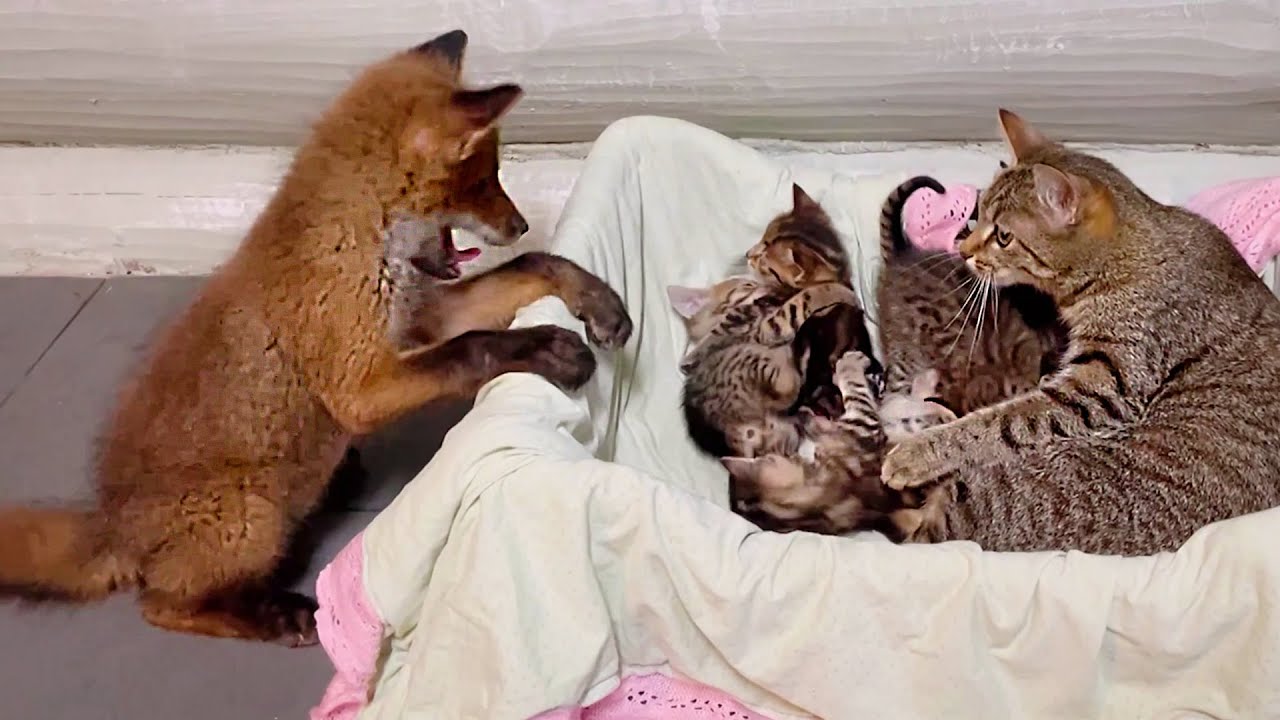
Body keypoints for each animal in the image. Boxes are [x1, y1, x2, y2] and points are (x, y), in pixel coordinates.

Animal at [0, 30, 632, 646]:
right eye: (482, 178)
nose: (519, 224)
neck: (359, 244)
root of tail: (112, 525)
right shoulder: (357, 386)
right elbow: (474, 349)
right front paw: (547, 348)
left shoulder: (419, 319)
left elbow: (533, 268)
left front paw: (597, 300)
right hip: (251, 517)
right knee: (162, 605)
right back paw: (272, 615)